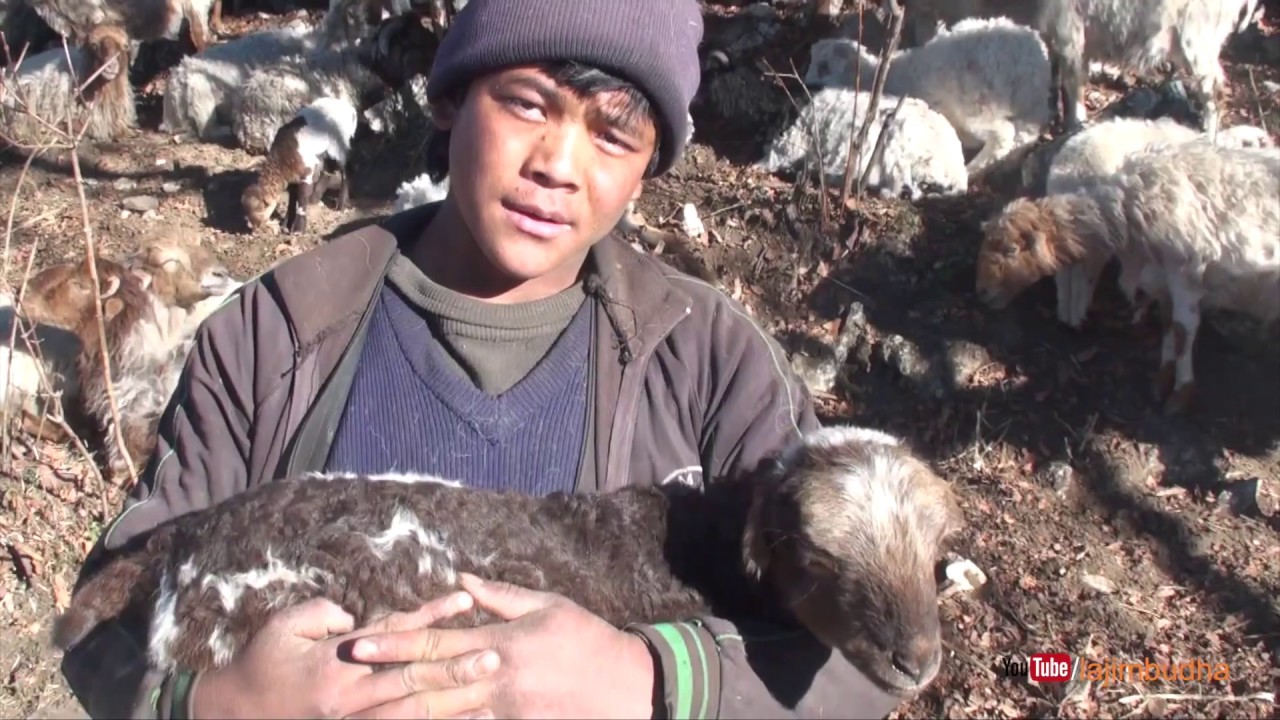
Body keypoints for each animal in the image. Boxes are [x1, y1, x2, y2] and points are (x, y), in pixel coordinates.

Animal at [241, 96, 359, 234]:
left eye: (261, 207)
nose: (254, 227)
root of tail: (350, 109)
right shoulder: (293, 178)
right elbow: (292, 199)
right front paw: (286, 225)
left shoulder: (307, 172)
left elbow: (301, 198)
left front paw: (298, 230)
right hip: (326, 151)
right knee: (328, 169)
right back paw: (314, 200)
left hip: (339, 146)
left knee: (345, 168)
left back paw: (341, 205)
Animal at [805, 18, 1054, 175]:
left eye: (824, 66)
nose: (808, 85)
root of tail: (1033, 64)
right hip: (1028, 108)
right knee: (1023, 136)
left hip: (978, 103)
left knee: (1003, 134)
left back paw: (971, 171)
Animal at [975, 138, 1280, 413]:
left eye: (1011, 249)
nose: (981, 291)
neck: (1129, 209)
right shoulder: (1162, 278)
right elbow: (1167, 324)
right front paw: (1161, 381)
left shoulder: (1186, 276)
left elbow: (1182, 332)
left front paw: (1180, 395)